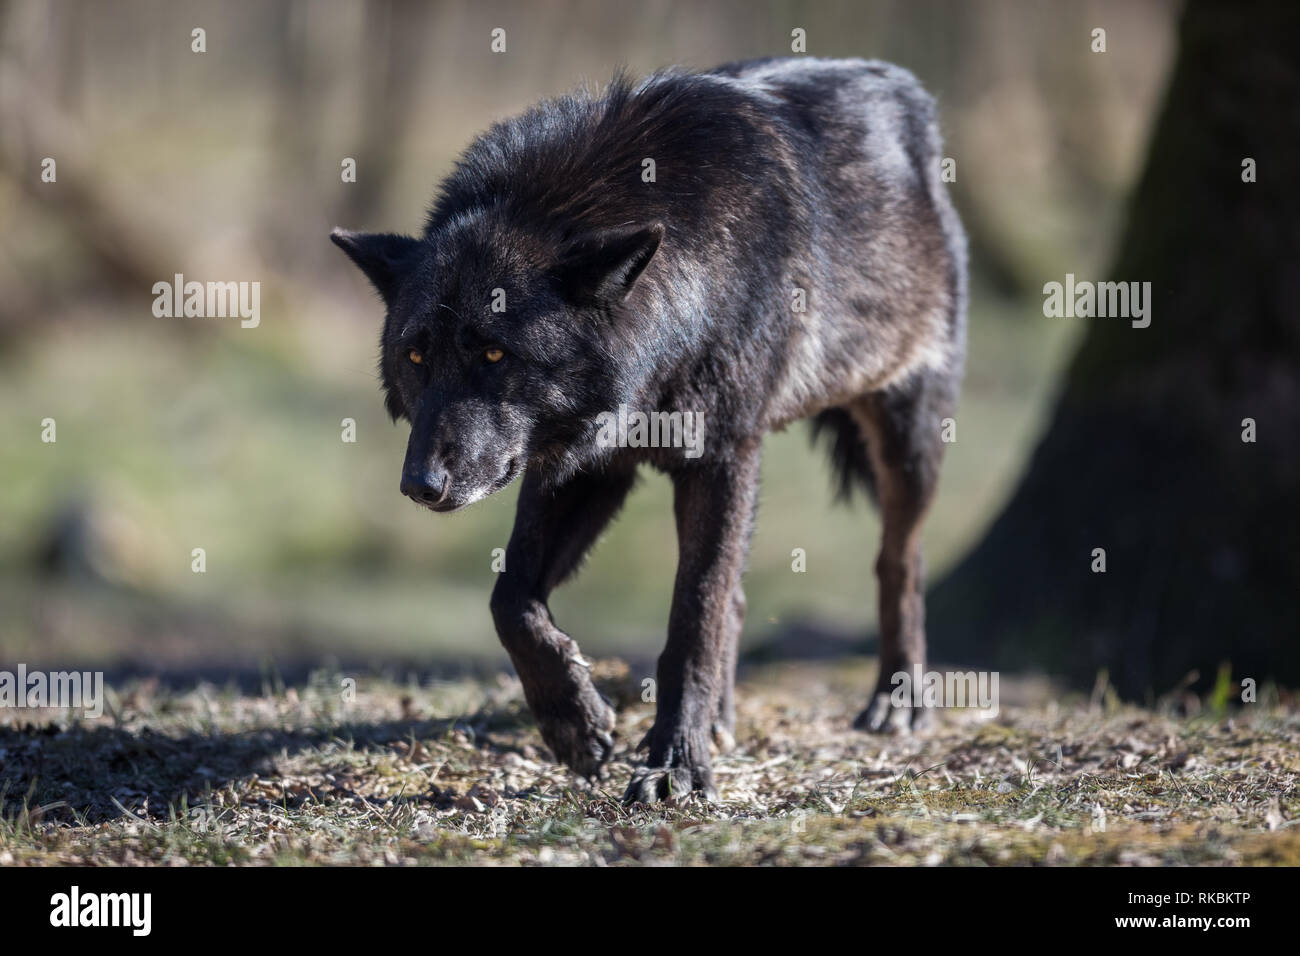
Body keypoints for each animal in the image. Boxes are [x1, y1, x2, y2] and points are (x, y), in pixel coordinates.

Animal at [331, 57, 967, 803]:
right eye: (415, 357)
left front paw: (675, 763)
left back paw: (897, 701)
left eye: (493, 354)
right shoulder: (585, 463)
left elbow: (692, 620)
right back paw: (720, 720)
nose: (419, 484)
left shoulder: (721, 456)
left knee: (900, 560)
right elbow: (509, 598)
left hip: (906, 435)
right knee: (741, 595)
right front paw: (573, 721)